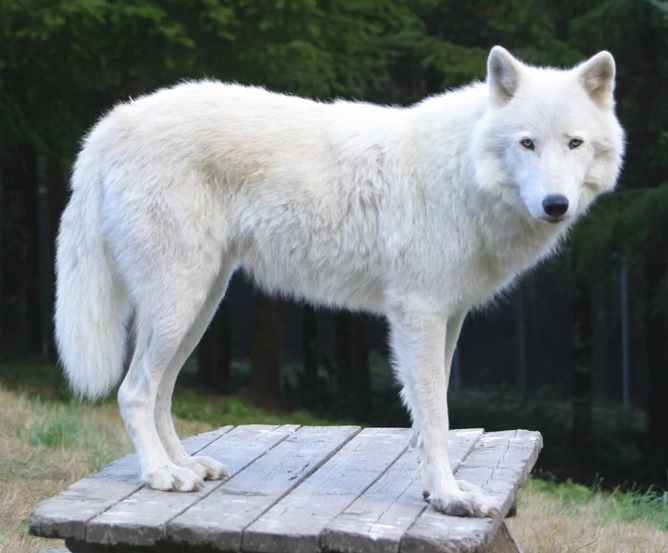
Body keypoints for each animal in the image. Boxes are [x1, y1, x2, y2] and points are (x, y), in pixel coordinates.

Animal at [55, 46, 625, 517]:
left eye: (574, 143)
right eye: (527, 143)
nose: (556, 204)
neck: (464, 172)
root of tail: (115, 119)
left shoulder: (449, 317)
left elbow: (430, 416)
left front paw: (436, 490)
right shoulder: (418, 314)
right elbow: (437, 418)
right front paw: (448, 497)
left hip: (200, 308)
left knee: (162, 394)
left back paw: (187, 465)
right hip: (181, 303)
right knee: (134, 391)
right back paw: (160, 475)